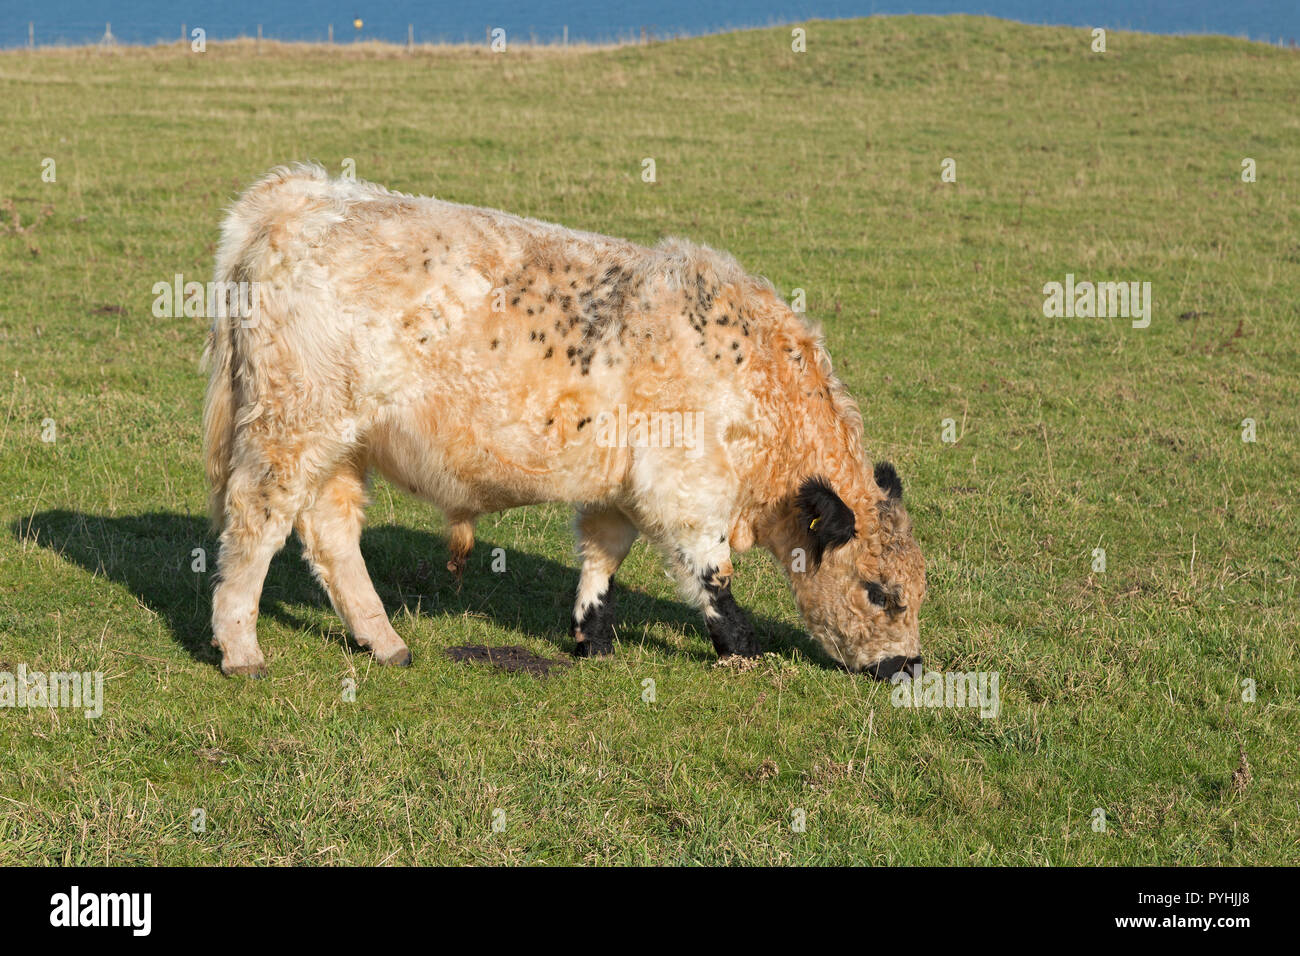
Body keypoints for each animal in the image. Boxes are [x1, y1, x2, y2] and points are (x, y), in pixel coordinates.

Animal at [202, 165, 926, 678]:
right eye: (879, 593)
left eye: (918, 591)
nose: (909, 667)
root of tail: (298, 193)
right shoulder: (686, 489)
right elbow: (711, 574)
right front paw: (742, 648)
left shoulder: (622, 488)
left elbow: (603, 556)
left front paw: (591, 638)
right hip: (290, 427)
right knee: (257, 522)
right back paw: (241, 649)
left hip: (341, 446)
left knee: (331, 532)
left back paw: (385, 641)